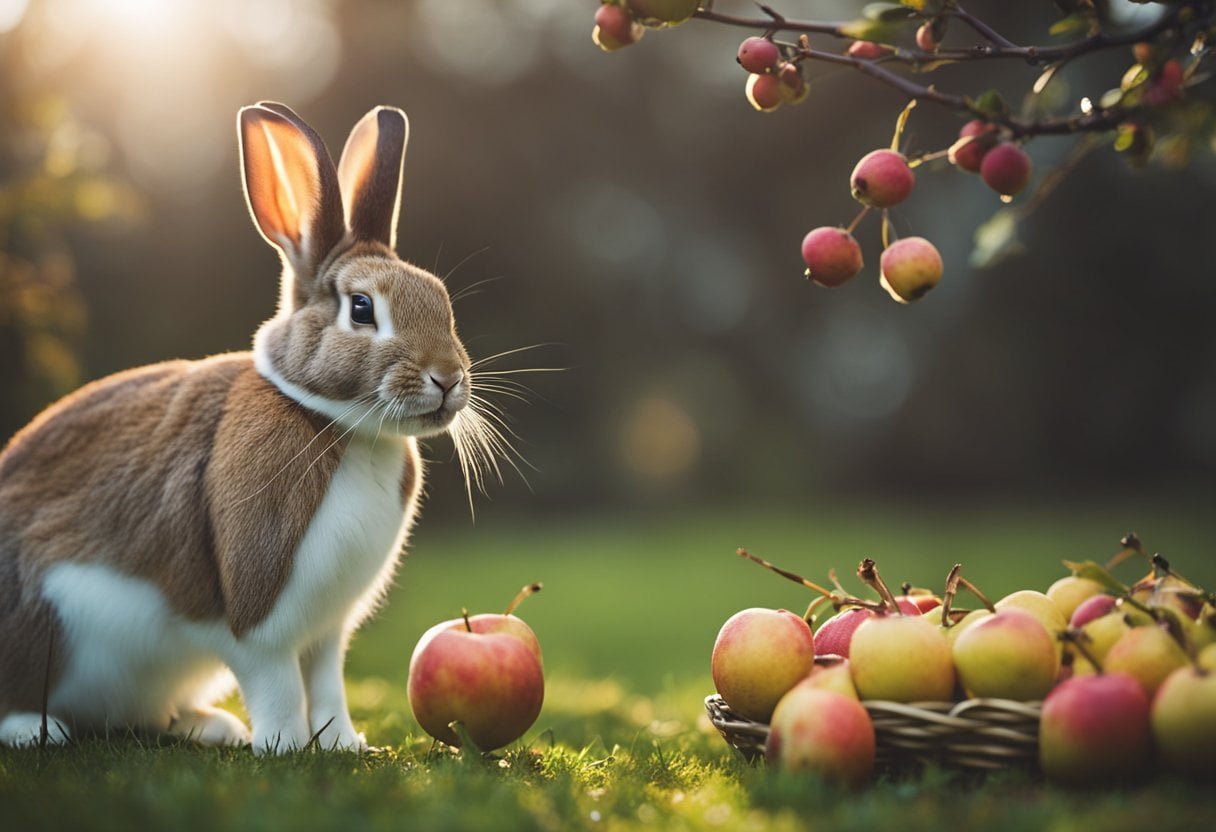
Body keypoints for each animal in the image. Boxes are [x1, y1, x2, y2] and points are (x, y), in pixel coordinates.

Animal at [0, 102, 474, 753]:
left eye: (441, 298)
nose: (447, 378)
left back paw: (208, 725)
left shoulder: (327, 629)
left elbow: (326, 685)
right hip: (43, 628)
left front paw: (345, 745)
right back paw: (37, 730)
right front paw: (284, 747)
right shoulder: (259, 616)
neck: (340, 426)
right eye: (361, 308)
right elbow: (277, 685)